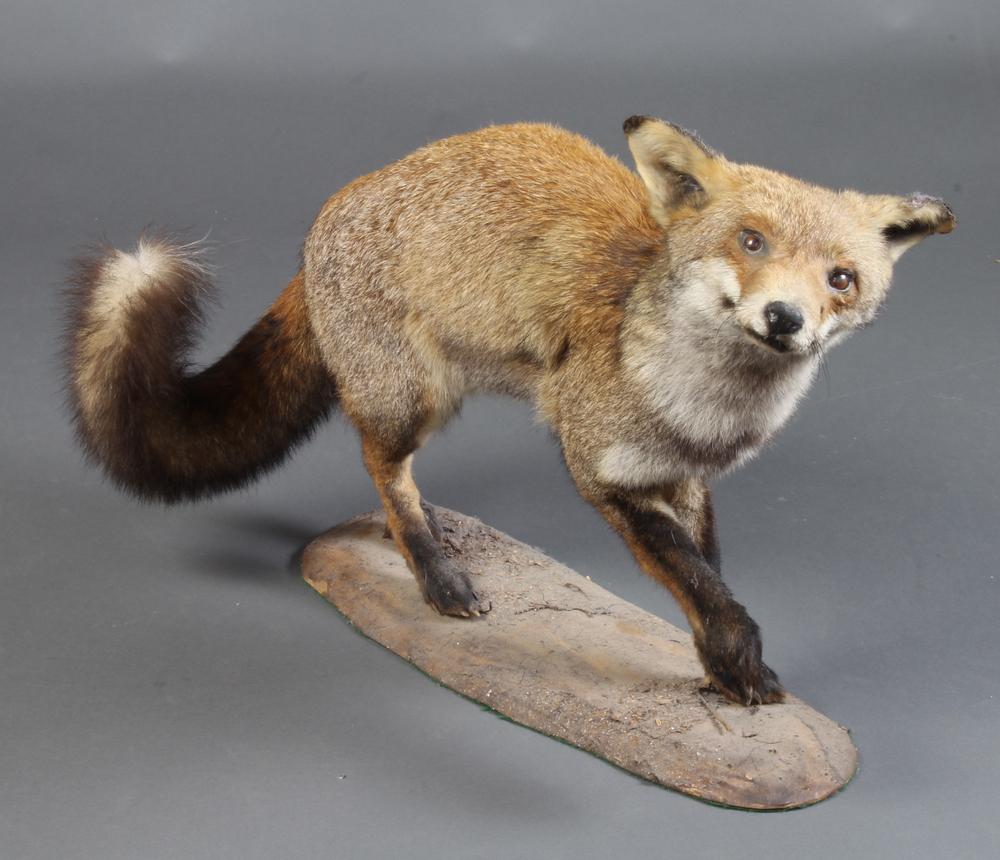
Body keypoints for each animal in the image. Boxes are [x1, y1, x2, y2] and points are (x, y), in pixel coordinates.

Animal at [63, 116, 954, 705]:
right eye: (751, 242)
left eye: (841, 278)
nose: (784, 319)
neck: (699, 405)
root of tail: (330, 211)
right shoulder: (602, 470)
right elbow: (692, 575)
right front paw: (738, 660)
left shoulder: (687, 476)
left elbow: (705, 577)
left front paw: (719, 665)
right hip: (411, 397)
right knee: (381, 465)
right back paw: (433, 571)